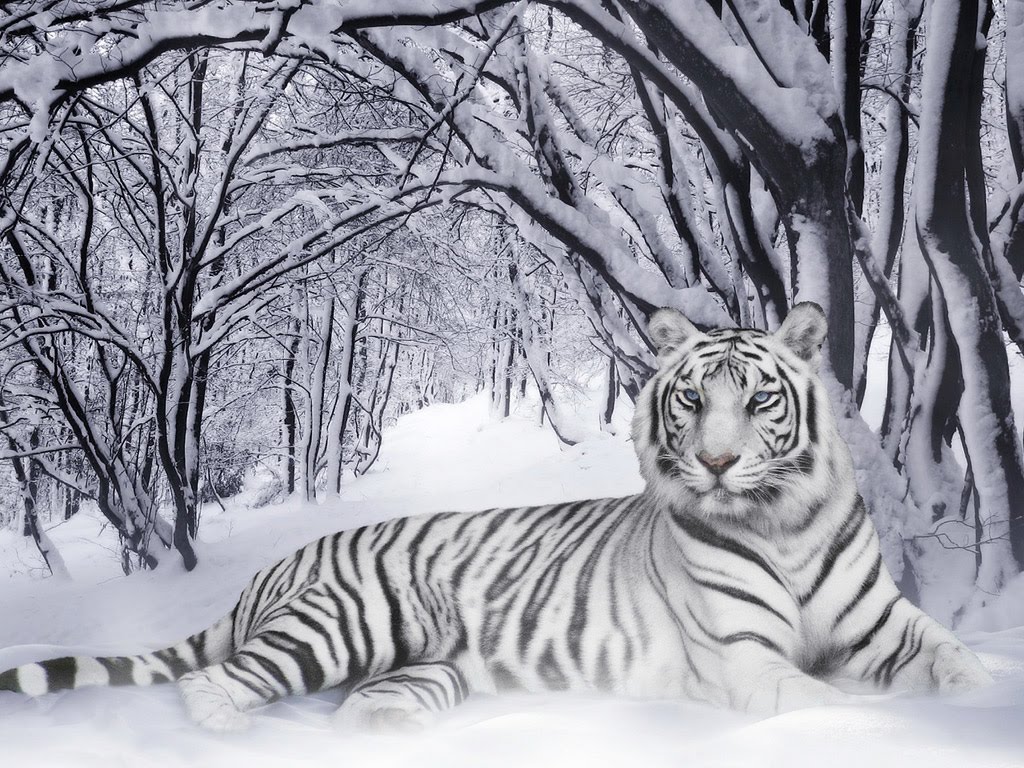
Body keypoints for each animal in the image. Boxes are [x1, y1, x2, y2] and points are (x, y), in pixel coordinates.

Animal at [0, 302, 993, 731]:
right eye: (691, 401)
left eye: (758, 401)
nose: (715, 462)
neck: (782, 523)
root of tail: (271, 571)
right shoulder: (746, 658)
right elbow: (824, 699)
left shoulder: (886, 625)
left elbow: (957, 659)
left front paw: (980, 700)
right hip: (342, 623)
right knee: (215, 684)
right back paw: (237, 736)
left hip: (423, 670)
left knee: (358, 706)